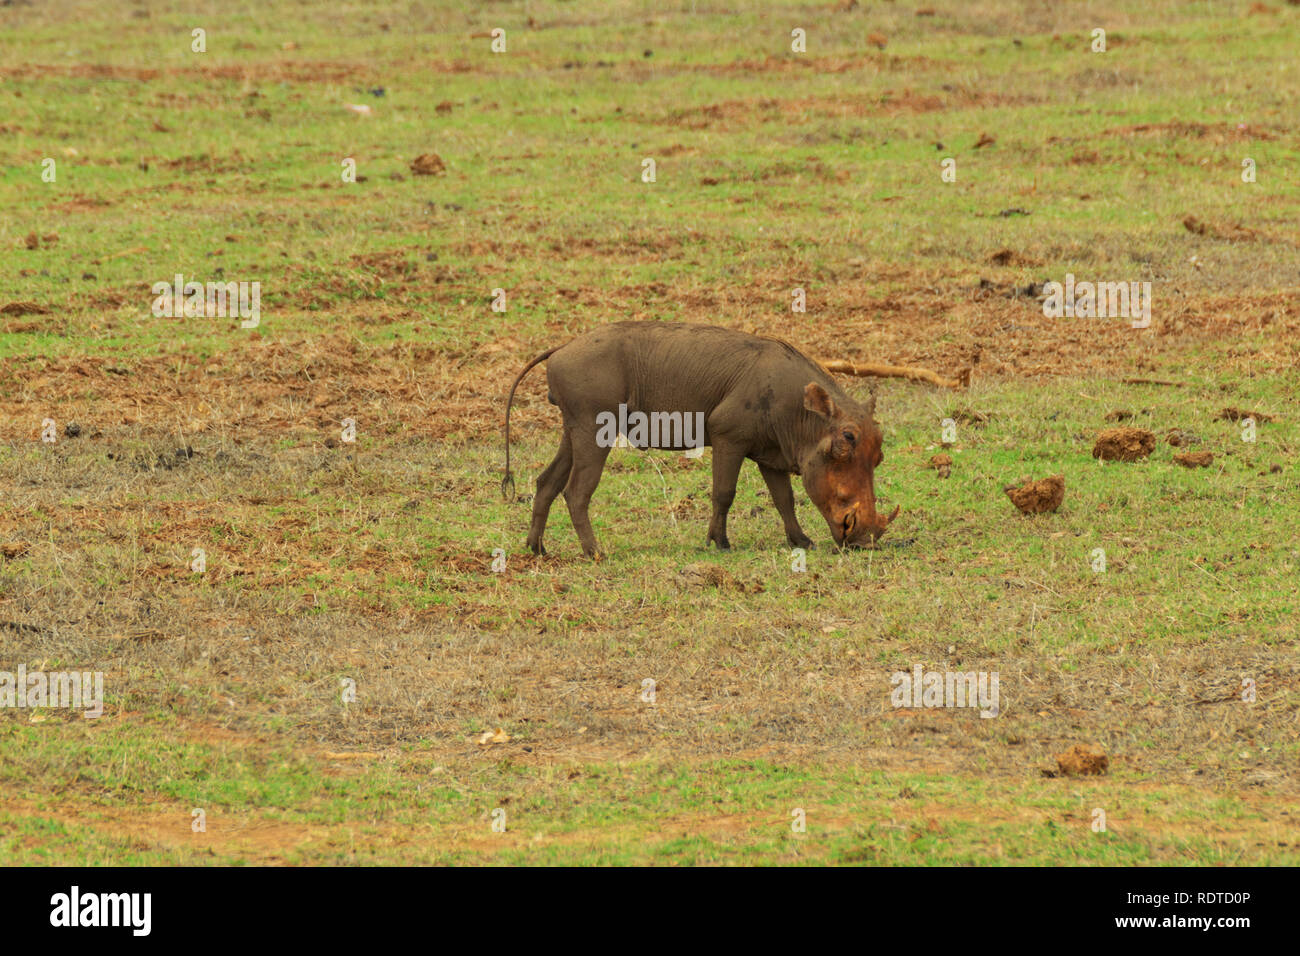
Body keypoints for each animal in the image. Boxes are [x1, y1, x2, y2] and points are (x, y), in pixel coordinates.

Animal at [501, 322, 899, 557]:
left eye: (879, 453)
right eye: (847, 438)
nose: (865, 541)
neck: (796, 410)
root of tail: (561, 349)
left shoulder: (771, 456)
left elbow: (784, 500)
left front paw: (802, 542)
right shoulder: (728, 438)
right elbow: (724, 493)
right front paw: (719, 543)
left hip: (571, 432)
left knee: (546, 482)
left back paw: (536, 549)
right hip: (591, 431)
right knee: (576, 491)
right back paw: (595, 552)